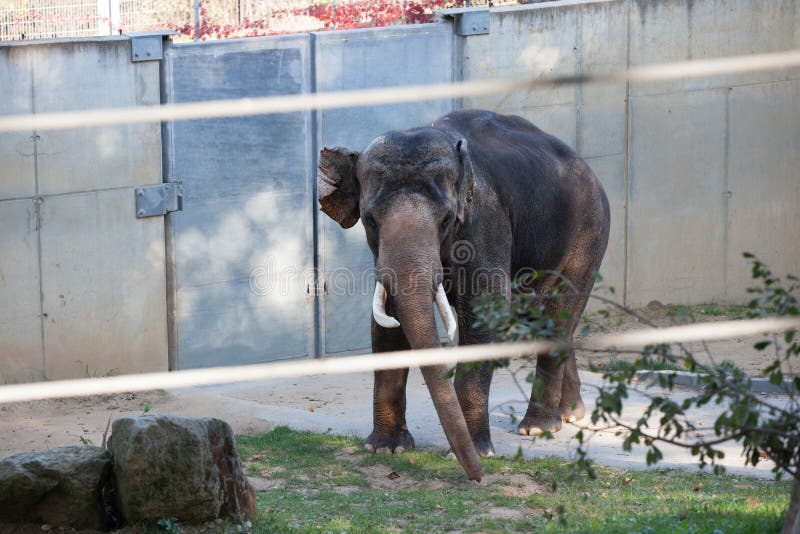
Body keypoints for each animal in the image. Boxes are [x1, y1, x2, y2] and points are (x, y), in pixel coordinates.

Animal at [317, 109, 610, 480]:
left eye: (446, 221)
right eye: (369, 220)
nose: (476, 477)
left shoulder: (486, 221)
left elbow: (483, 315)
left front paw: (474, 452)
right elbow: (386, 323)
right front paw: (385, 448)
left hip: (589, 233)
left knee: (559, 311)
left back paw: (538, 427)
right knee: (545, 317)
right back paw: (570, 414)